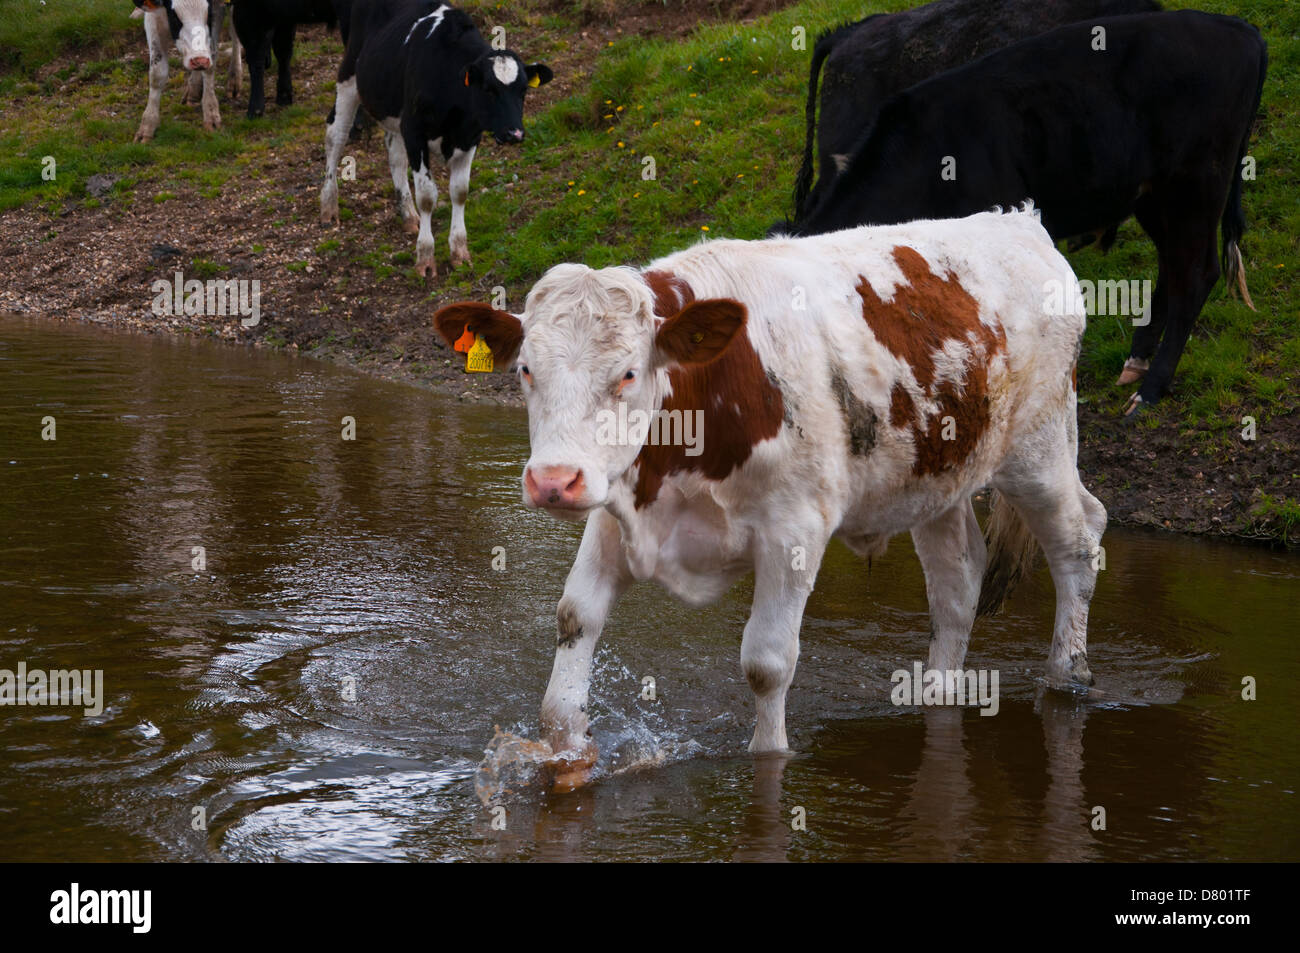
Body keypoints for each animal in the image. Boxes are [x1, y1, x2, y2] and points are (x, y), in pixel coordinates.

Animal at [132, 0, 242, 143]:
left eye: (208, 14)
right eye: (174, 17)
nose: (200, 60)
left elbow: (211, 60)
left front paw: (211, 114)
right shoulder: (153, 16)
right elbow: (157, 73)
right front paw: (147, 126)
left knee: (235, 32)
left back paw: (234, 79)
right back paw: (194, 89)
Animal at [320, 0, 552, 278]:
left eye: (524, 89)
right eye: (488, 89)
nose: (514, 133)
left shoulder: (468, 136)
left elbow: (460, 191)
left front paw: (459, 251)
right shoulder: (415, 132)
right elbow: (427, 196)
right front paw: (425, 258)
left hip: (394, 108)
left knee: (395, 155)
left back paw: (408, 215)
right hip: (349, 79)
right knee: (335, 136)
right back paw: (329, 206)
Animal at [434, 206, 1107, 788]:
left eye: (626, 373)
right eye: (526, 369)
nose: (553, 481)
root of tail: (1018, 222)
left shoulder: (794, 531)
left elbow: (766, 663)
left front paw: (769, 757)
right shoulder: (617, 510)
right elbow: (573, 627)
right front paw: (569, 764)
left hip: (1038, 450)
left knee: (1078, 539)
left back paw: (1066, 675)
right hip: (938, 479)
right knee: (957, 577)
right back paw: (937, 693)